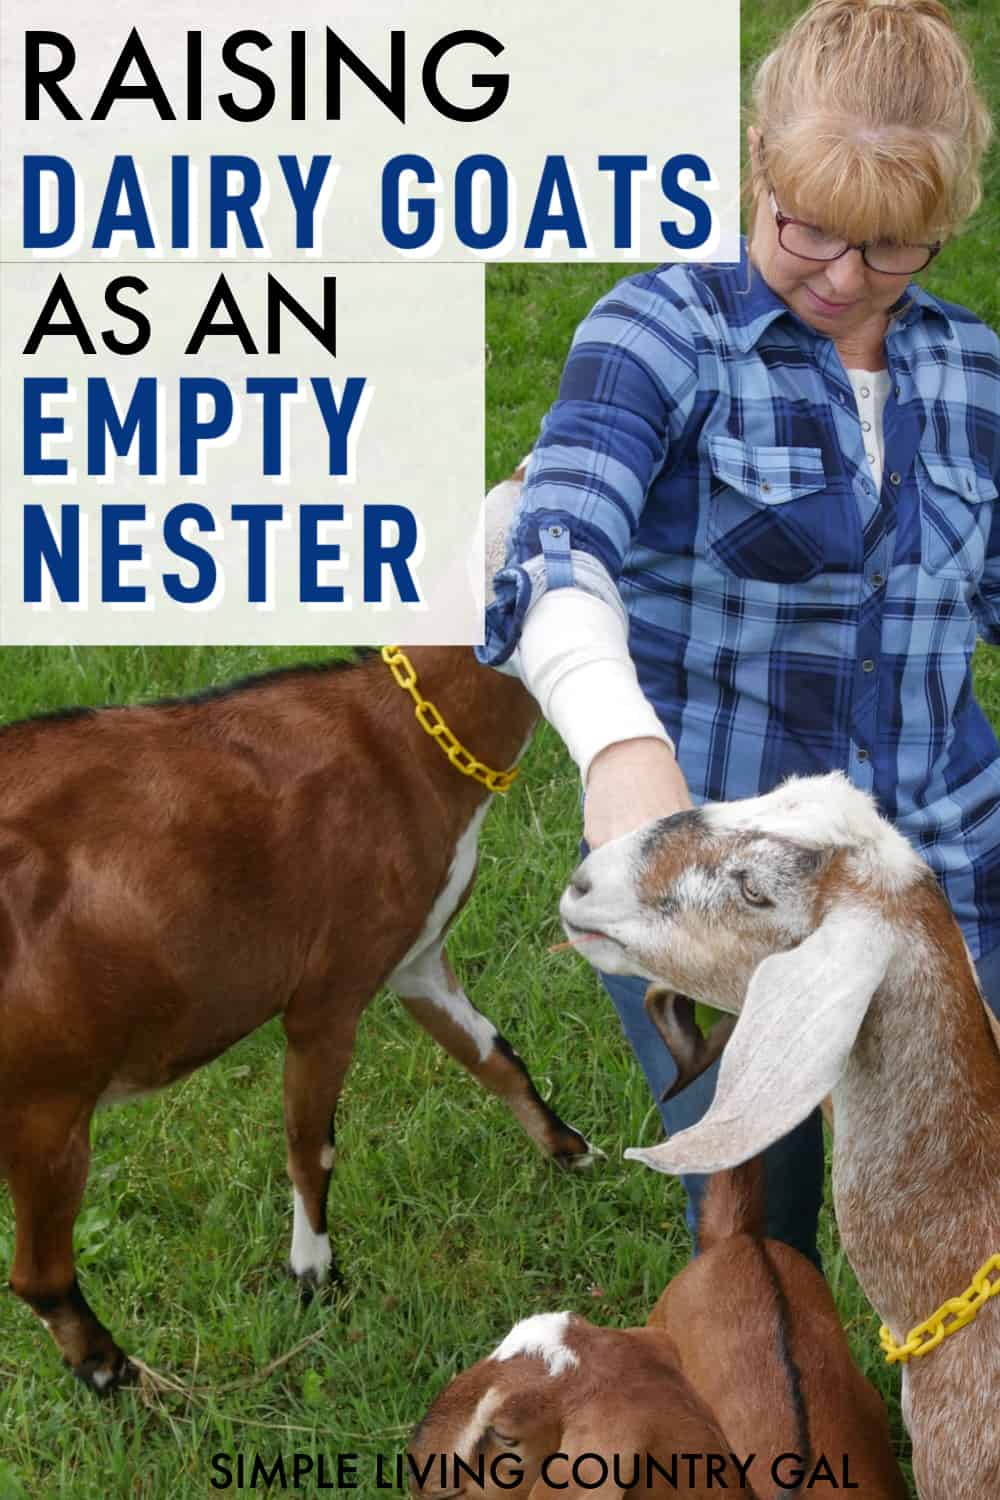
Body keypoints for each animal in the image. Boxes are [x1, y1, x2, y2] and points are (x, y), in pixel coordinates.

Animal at [0, 471, 596, 1394]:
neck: (406, 734)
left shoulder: (416, 955)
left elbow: (496, 1056)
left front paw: (570, 1150)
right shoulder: (328, 993)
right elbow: (308, 1145)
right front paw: (314, 1276)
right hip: (46, 1100)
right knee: (40, 1272)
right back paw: (116, 1375)